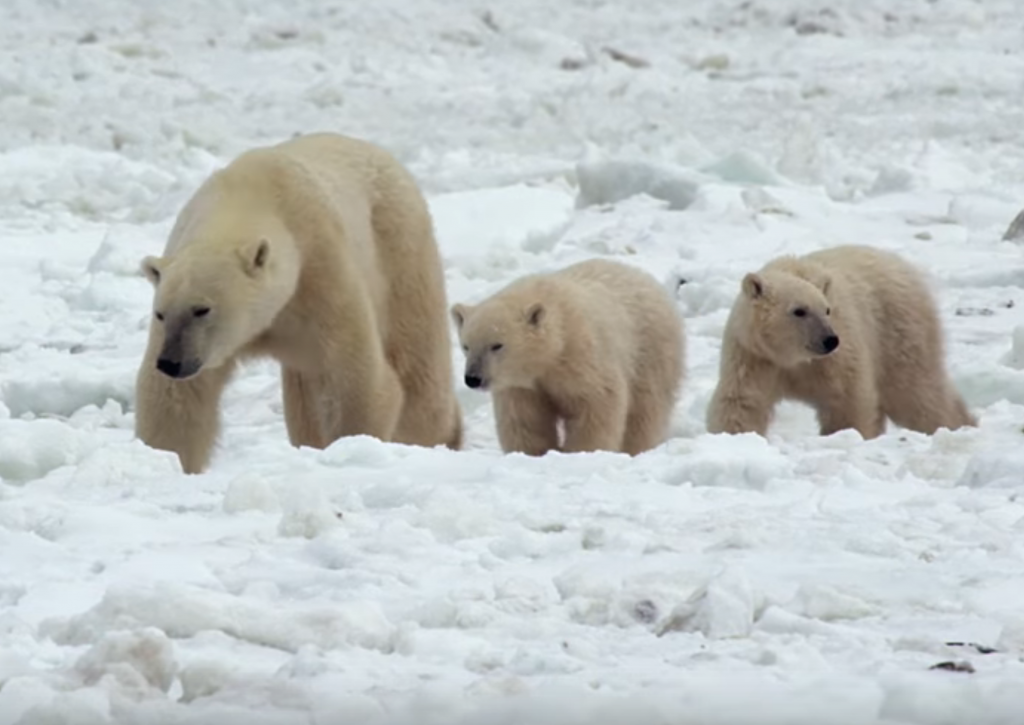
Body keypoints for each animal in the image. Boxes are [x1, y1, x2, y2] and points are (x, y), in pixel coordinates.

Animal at [135, 132, 463, 474]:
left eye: (202, 309)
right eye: (160, 314)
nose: (170, 362)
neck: (247, 197)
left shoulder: (319, 272)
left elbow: (354, 375)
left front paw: (352, 445)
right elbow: (175, 397)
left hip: (400, 255)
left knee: (417, 368)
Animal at [451, 258, 685, 456]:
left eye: (497, 345)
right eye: (466, 346)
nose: (473, 378)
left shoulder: (583, 357)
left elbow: (596, 404)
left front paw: (581, 452)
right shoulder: (523, 386)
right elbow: (526, 420)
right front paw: (534, 453)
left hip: (650, 351)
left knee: (645, 412)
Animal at [706, 244, 976, 440]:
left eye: (827, 309)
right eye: (799, 311)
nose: (829, 340)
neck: (793, 358)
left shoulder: (836, 357)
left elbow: (846, 399)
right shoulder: (755, 356)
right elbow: (743, 402)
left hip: (899, 331)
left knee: (915, 392)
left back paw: (959, 424)